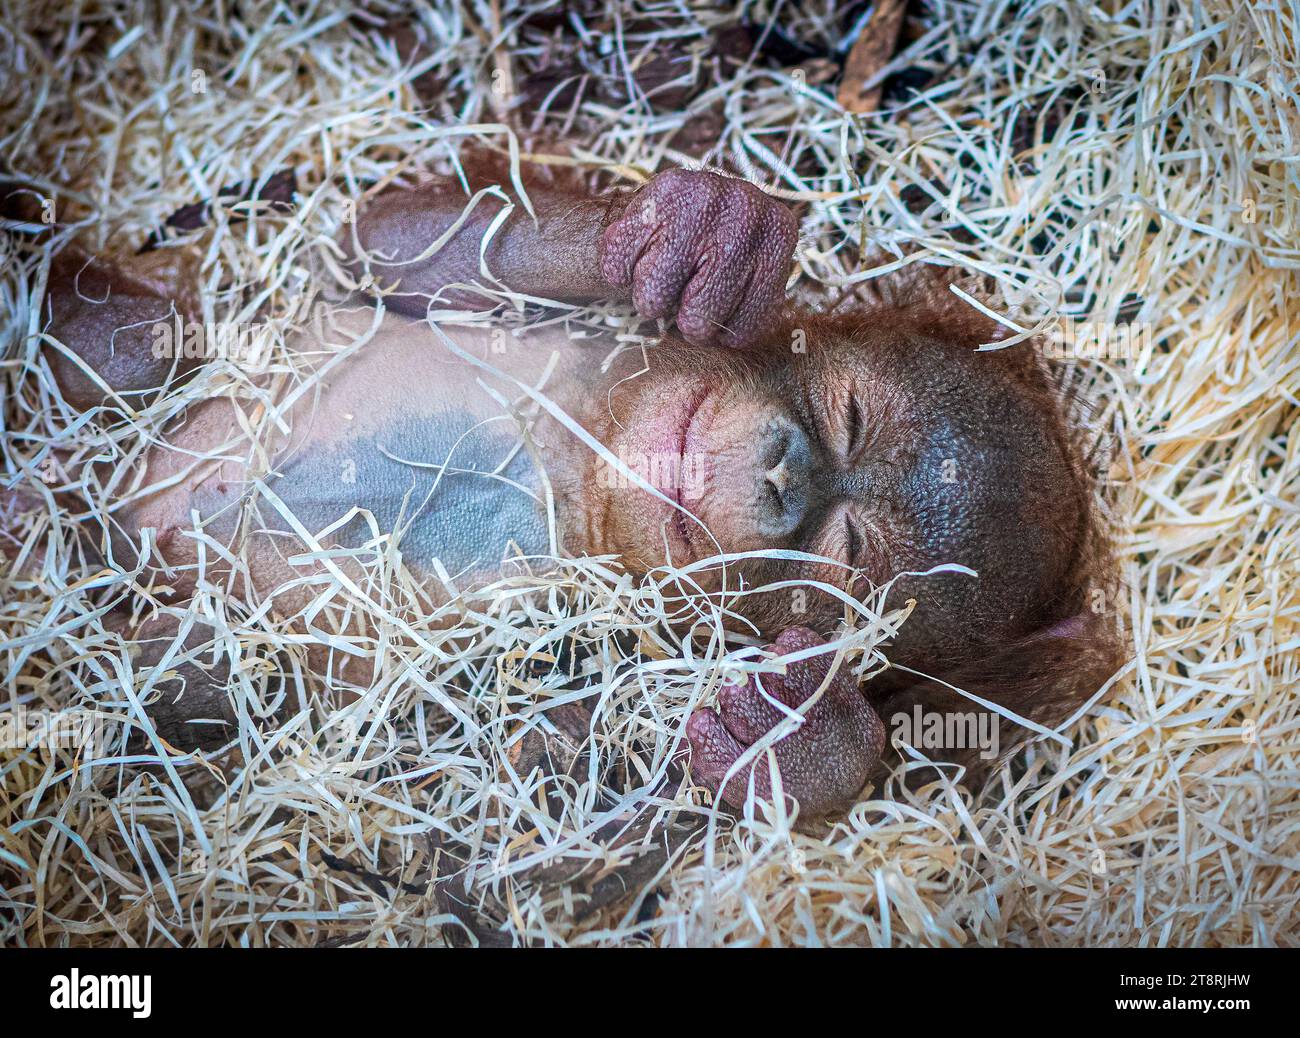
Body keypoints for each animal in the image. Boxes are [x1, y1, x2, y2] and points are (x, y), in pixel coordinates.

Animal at [4, 155, 1118, 819]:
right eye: (846, 414)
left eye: (842, 553)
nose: (785, 470)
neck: (584, 466)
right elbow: (392, 245)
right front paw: (703, 236)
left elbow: (523, 789)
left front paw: (804, 748)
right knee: (137, 343)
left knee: (176, 664)